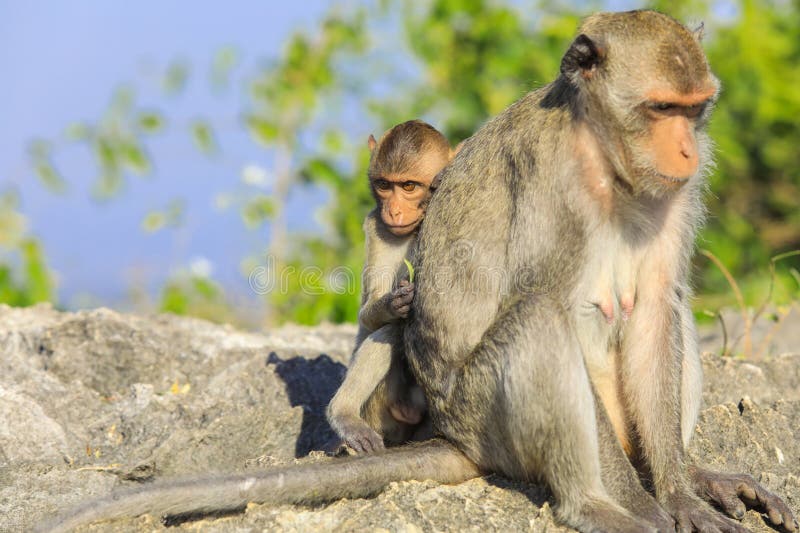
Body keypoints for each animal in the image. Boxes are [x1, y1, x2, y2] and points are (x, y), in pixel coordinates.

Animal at [327, 120, 455, 453]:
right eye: (384, 185)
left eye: (409, 186)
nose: (394, 211)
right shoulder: (375, 226)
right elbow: (368, 316)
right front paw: (395, 302)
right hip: (379, 410)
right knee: (392, 331)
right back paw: (344, 415)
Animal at [402, 9, 797, 533]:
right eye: (661, 108)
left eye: (693, 109)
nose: (689, 151)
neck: (604, 157)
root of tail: (453, 435)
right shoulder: (552, 181)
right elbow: (553, 305)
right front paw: (645, 506)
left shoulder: (674, 191)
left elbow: (656, 304)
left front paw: (680, 494)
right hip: (481, 415)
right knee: (539, 316)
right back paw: (591, 504)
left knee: (672, 304)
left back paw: (694, 472)